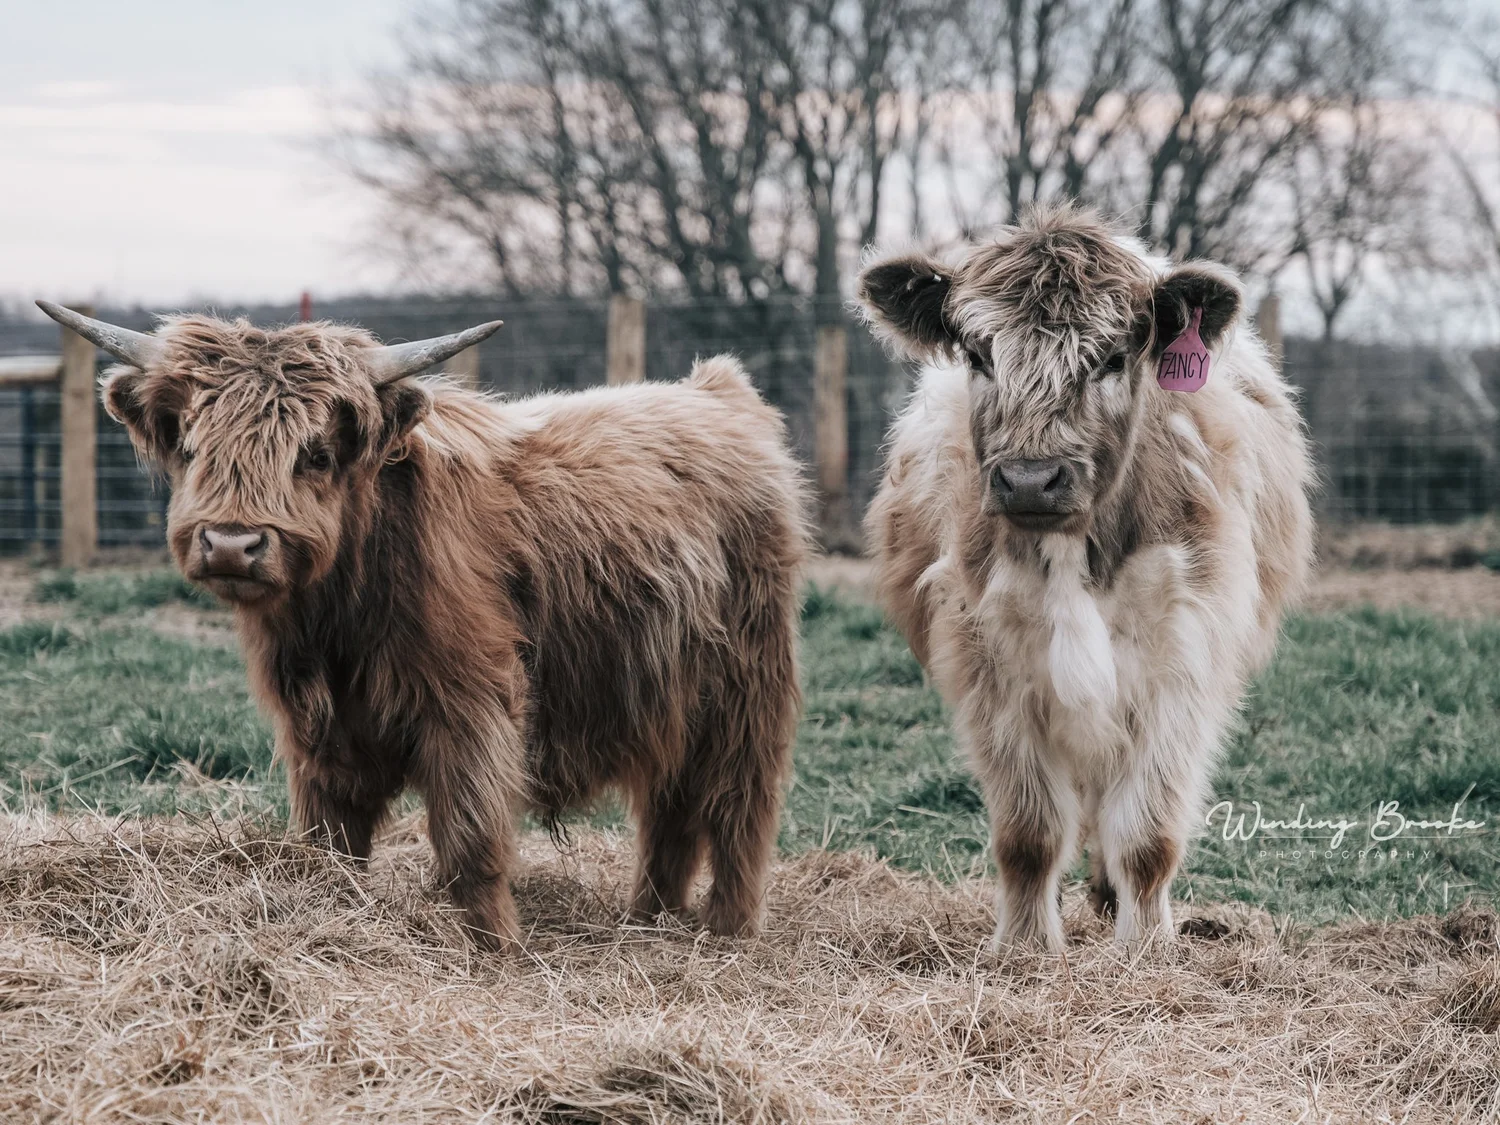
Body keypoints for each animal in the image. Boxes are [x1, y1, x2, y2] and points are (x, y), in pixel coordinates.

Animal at [37, 301, 810, 950]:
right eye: (192, 446)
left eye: (316, 453)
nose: (231, 544)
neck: (338, 622)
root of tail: (715, 391)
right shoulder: (319, 729)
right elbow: (329, 835)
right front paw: (331, 911)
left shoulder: (470, 706)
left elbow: (469, 839)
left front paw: (492, 947)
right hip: (666, 692)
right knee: (671, 808)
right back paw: (648, 918)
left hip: (747, 685)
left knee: (740, 806)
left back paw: (727, 932)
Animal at [855, 205, 1314, 951]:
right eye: (978, 354)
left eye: (1114, 357)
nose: (1029, 478)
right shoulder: (991, 667)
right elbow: (1029, 835)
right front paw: (1024, 947)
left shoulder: (1179, 665)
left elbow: (1148, 834)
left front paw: (1145, 948)